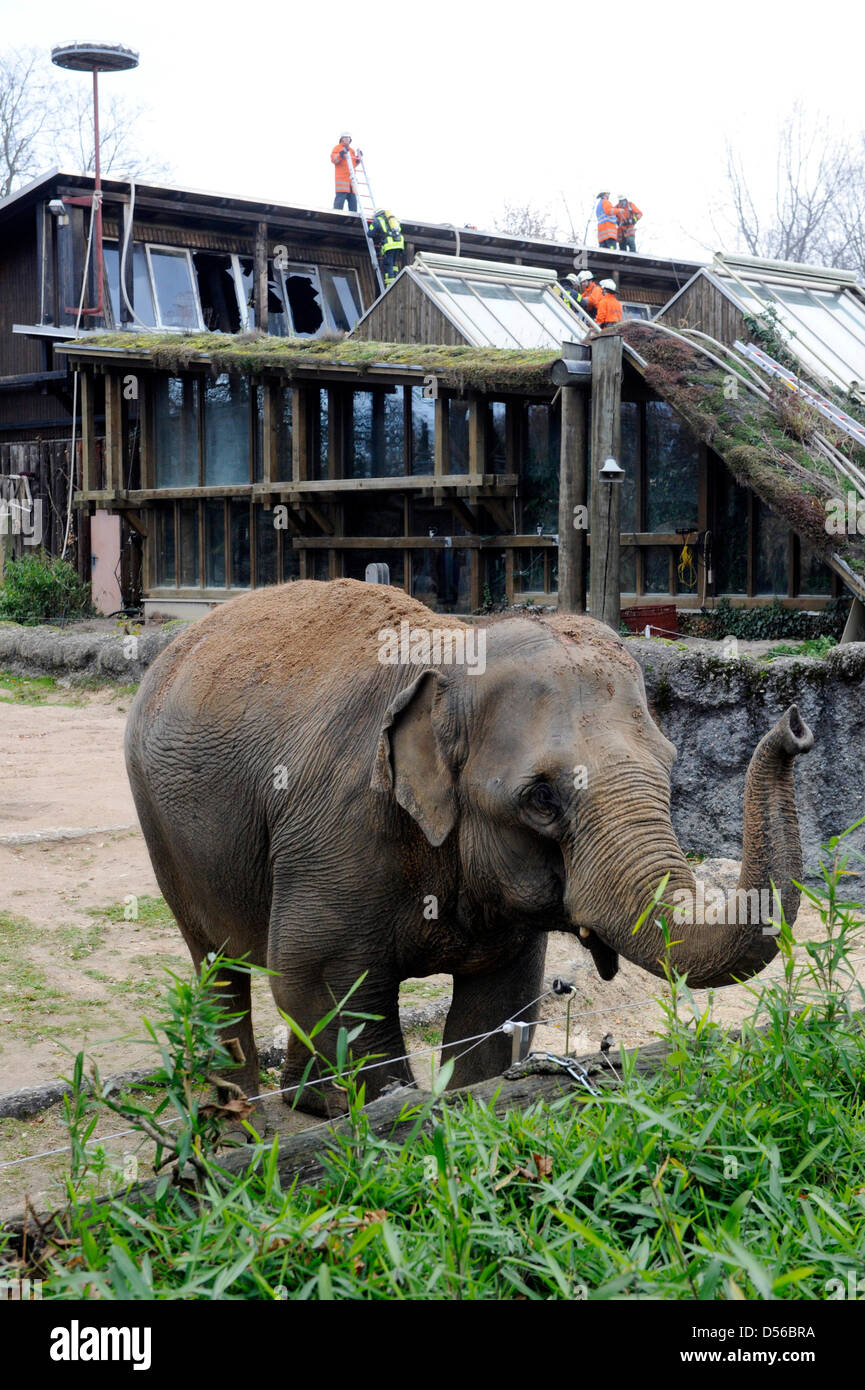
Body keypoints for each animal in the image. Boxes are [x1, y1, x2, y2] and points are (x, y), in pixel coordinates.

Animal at [125, 578, 813, 1111]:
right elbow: (320, 981)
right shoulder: (339, 826)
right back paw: (240, 1116)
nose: (796, 725)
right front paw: (398, 1114)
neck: (452, 650)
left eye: (670, 769)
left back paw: (310, 1107)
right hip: (163, 828)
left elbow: (499, 1005)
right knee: (220, 969)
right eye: (541, 799)